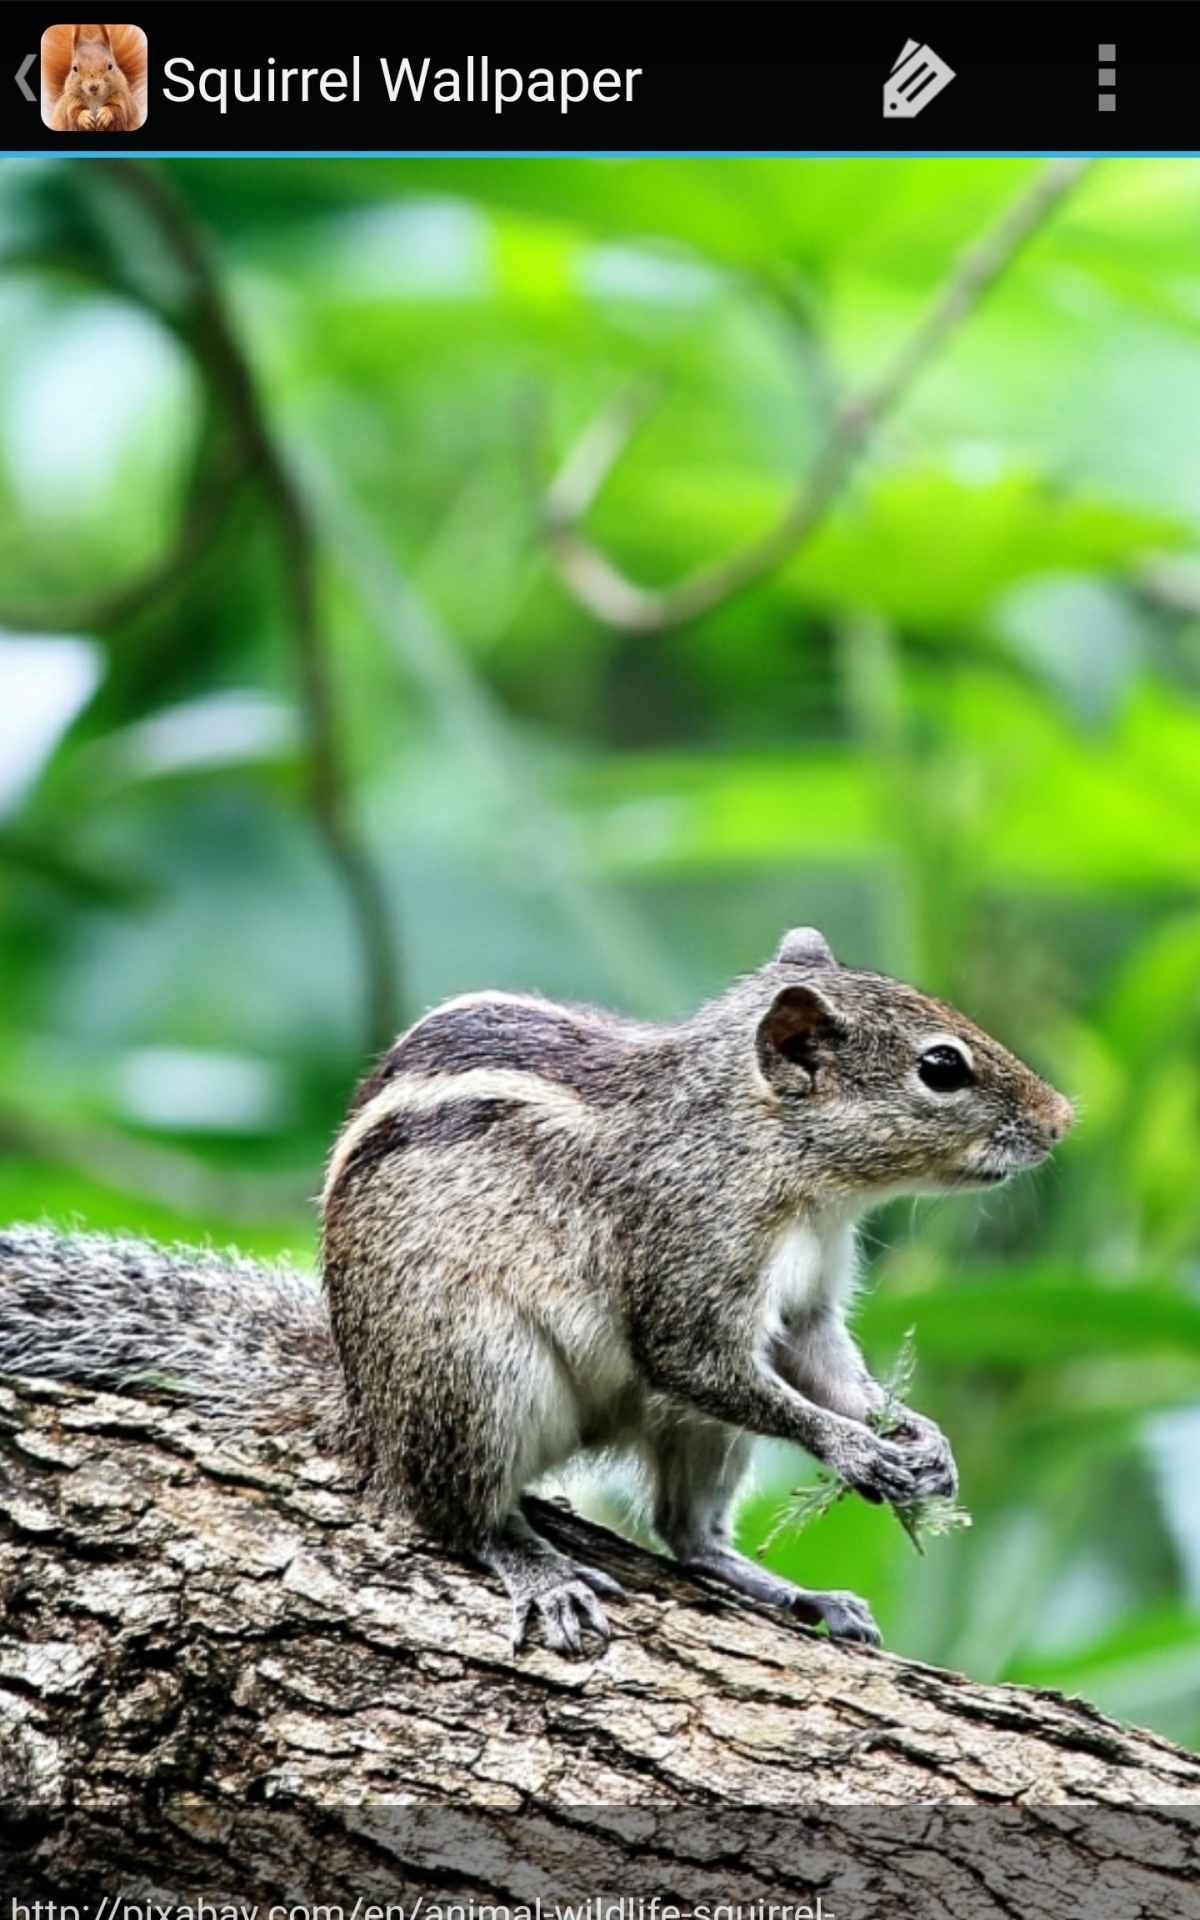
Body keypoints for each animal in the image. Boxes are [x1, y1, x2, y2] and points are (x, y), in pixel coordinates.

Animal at [0, 929, 1073, 1656]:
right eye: (941, 1067)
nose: (1063, 1118)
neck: (781, 1159)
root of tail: (365, 1413)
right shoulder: (685, 1260)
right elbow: (700, 1359)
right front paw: (856, 1448)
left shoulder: (805, 1303)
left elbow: (823, 1366)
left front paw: (917, 1438)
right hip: (477, 1373)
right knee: (453, 1516)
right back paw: (537, 1568)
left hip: (679, 1433)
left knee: (688, 1535)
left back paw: (795, 1595)